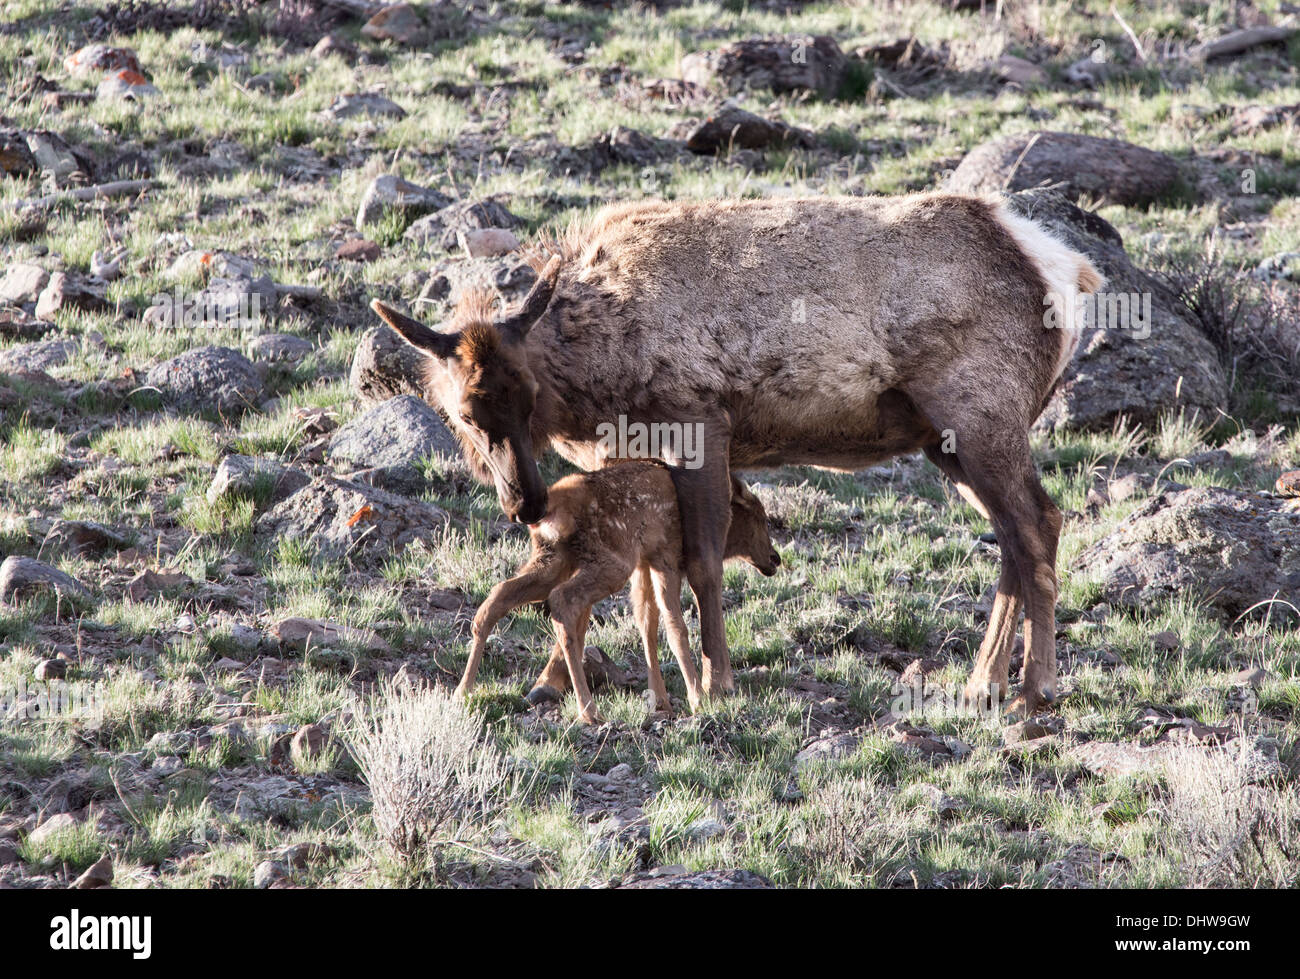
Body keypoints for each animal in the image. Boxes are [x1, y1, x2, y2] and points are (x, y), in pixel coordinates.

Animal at [455, 460, 780, 723]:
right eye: (761, 516)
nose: (775, 558)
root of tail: (550, 514)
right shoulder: (666, 555)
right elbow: (675, 625)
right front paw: (697, 698)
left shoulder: (645, 561)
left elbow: (647, 623)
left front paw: (661, 701)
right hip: (609, 559)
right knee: (562, 600)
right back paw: (588, 710)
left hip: (553, 558)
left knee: (499, 596)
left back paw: (464, 690)